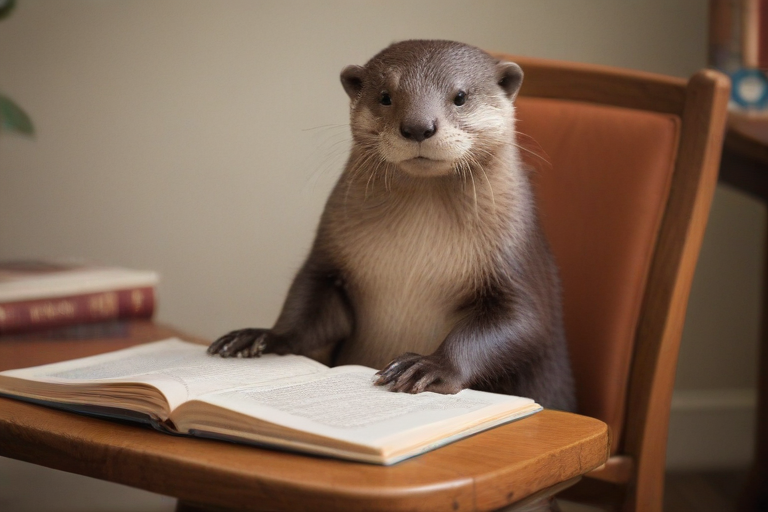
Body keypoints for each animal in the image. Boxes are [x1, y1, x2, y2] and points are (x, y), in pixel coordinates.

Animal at [208, 40, 576, 411]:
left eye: (460, 96)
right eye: (385, 96)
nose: (418, 126)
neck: (415, 257)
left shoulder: (518, 262)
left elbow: (525, 322)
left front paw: (430, 366)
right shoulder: (328, 255)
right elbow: (307, 306)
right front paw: (262, 338)